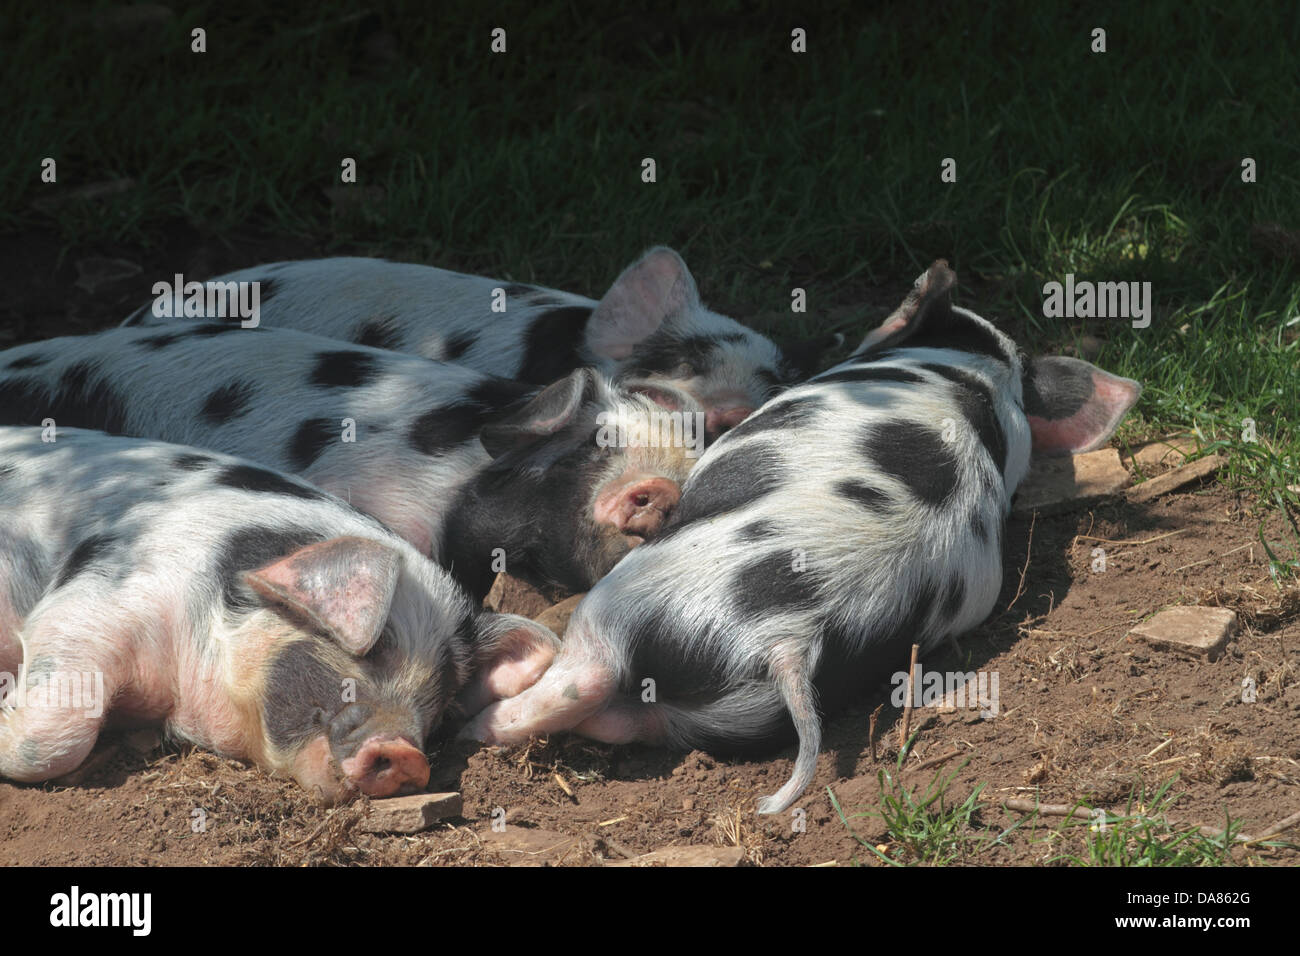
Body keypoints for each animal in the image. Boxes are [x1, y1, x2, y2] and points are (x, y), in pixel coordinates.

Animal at [459, 260, 1142, 813]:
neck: (978, 372)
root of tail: (789, 639)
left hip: (624, 604)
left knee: (578, 681)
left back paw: (479, 721)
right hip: (718, 716)